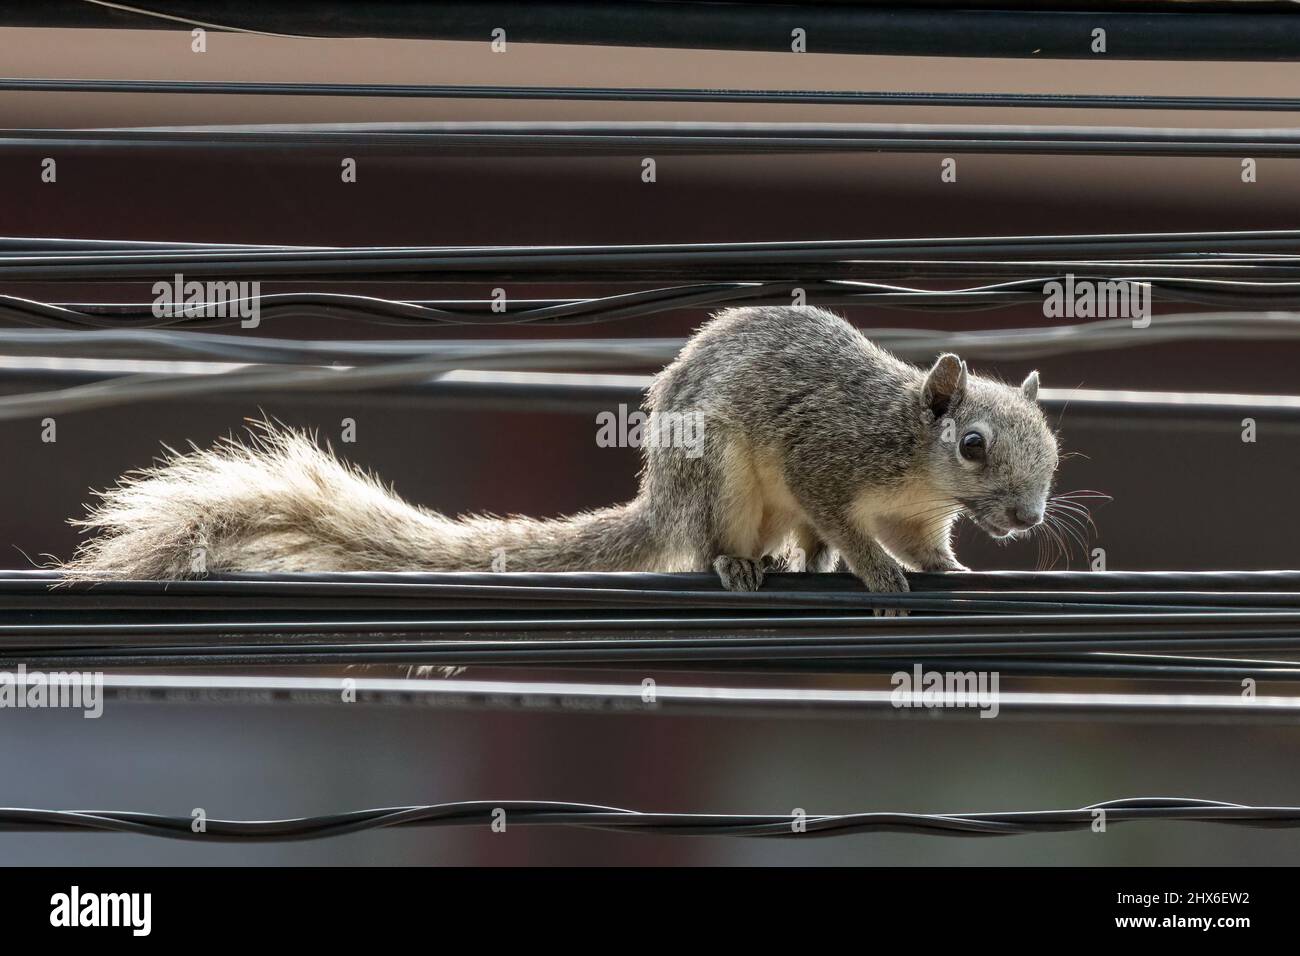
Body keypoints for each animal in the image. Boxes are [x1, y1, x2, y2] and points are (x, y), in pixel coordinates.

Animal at [64, 306, 1061, 593]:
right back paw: (739, 564)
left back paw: (796, 563)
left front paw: (949, 568)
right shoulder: (830, 455)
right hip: (720, 480)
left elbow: (927, 544)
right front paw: (878, 570)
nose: (1029, 516)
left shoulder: (919, 512)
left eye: (1051, 454)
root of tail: (661, 497)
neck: (916, 464)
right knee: (713, 537)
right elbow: (846, 521)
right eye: (974, 445)